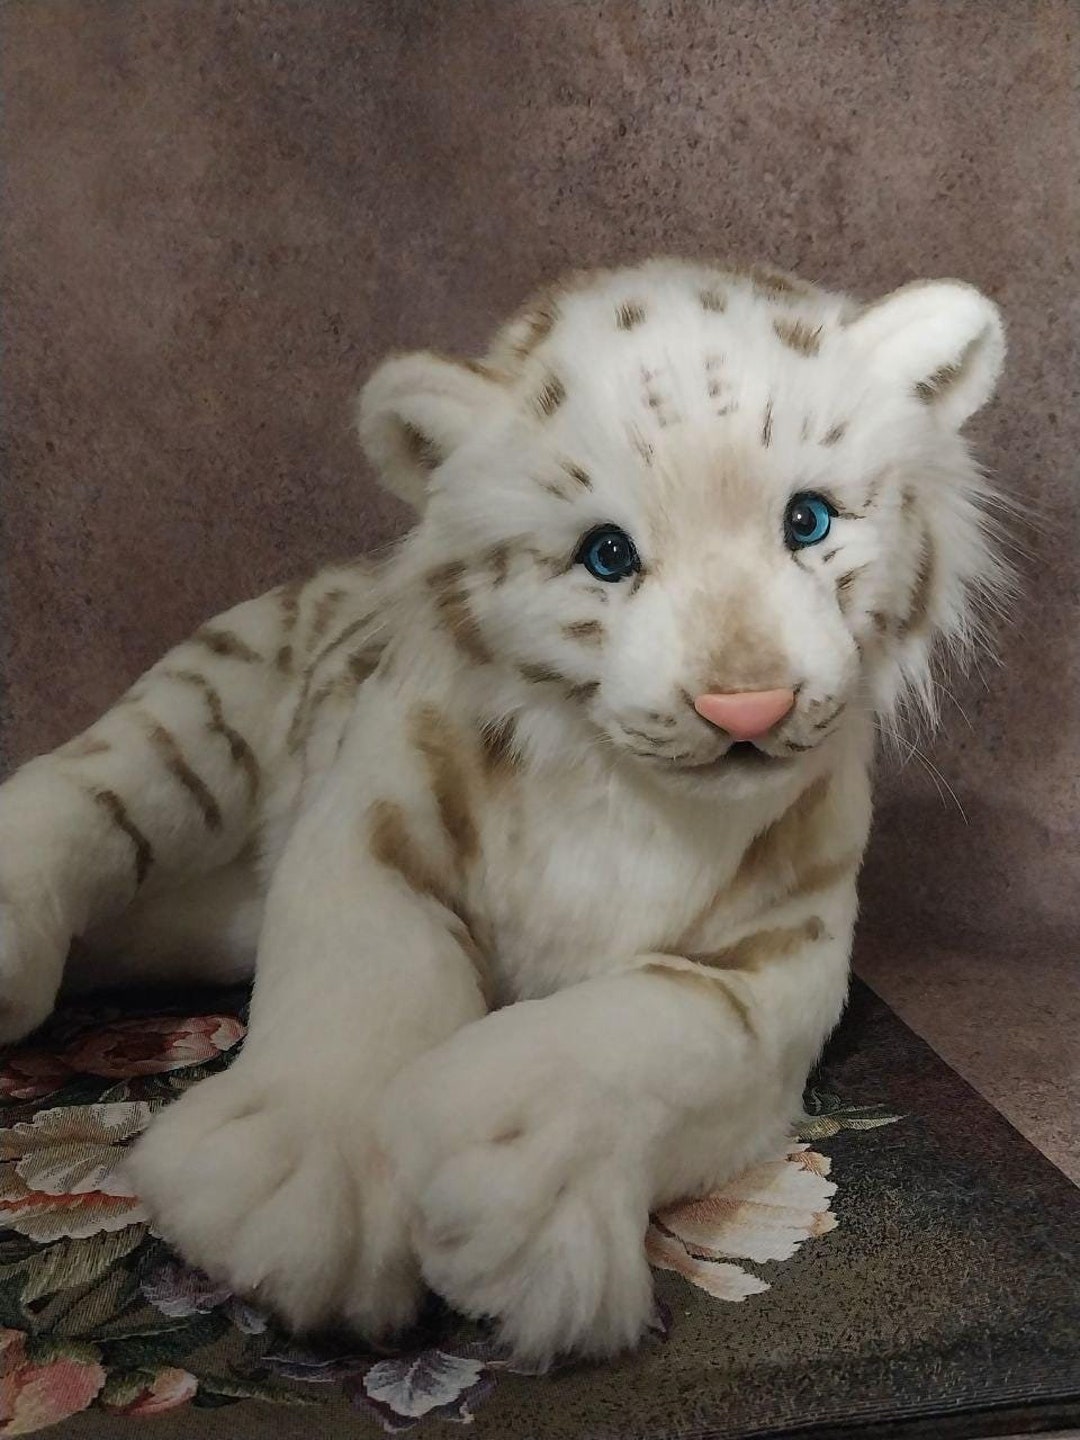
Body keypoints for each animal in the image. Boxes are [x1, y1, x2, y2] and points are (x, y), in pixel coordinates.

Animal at [0, 258, 1010, 1365]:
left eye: (808, 522)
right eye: (607, 554)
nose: (747, 707)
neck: (627, 795)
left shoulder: (785, 957)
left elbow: (659, 1024)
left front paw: (502, 1186)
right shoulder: (370, 835)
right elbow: (365, 981)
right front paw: (306, 1200)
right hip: (200, 721)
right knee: (83, 788)